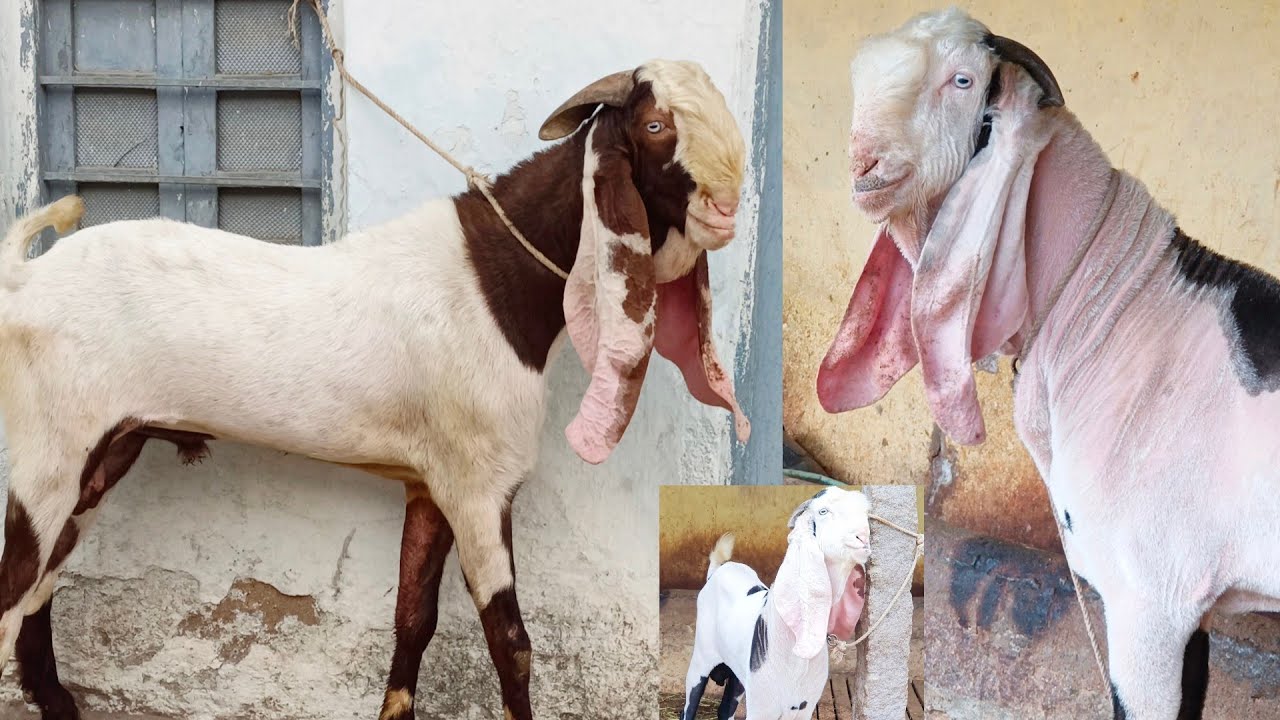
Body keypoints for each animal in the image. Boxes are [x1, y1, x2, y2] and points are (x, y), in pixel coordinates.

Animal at [0, 59, 750, 720]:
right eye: (655, 126)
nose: (726, 209)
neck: (495, 279)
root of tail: (26, 282)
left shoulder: (430, 483)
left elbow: (413, 618)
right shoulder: (479, 486)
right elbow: (510, 643)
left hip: (106, 452)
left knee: (39, 588)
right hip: (51, 450)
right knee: (16, 584)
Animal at [682, 488, 869, 720]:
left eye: (865, 512)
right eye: (823, 511)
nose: (863, 537)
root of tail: (717, 570)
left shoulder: (803, 707)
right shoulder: (762, 707)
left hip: (738, 675)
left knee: (726, 708)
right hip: (701, 657)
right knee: (689, 704)